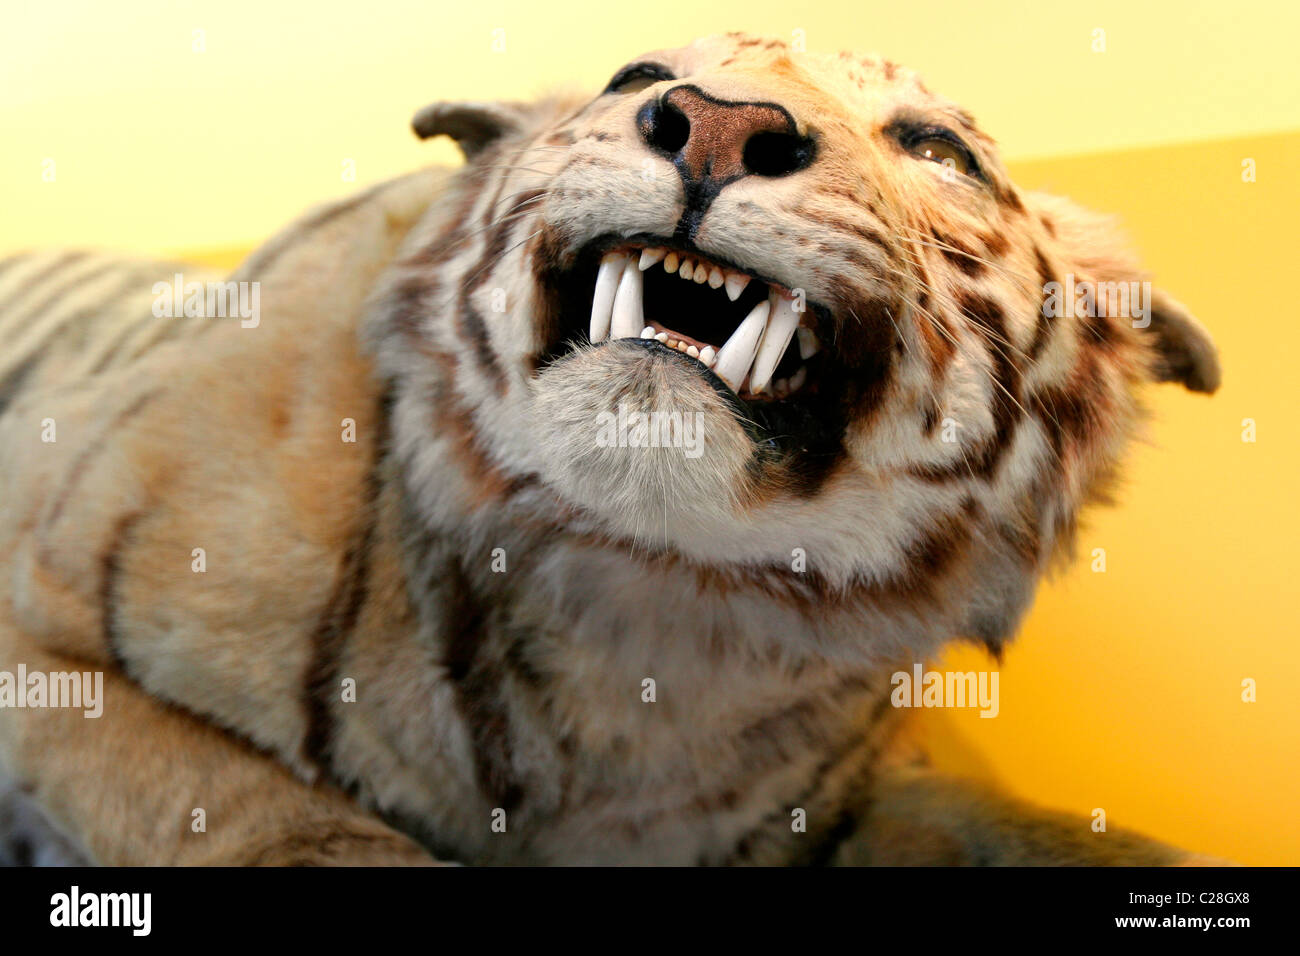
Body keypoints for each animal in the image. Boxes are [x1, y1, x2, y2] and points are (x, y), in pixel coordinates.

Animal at [0, 32, 1222, 866]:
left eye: (938, 149)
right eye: (637, 77)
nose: (718, 123)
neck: (642, 600)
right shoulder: (41, 643)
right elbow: (271, 819)